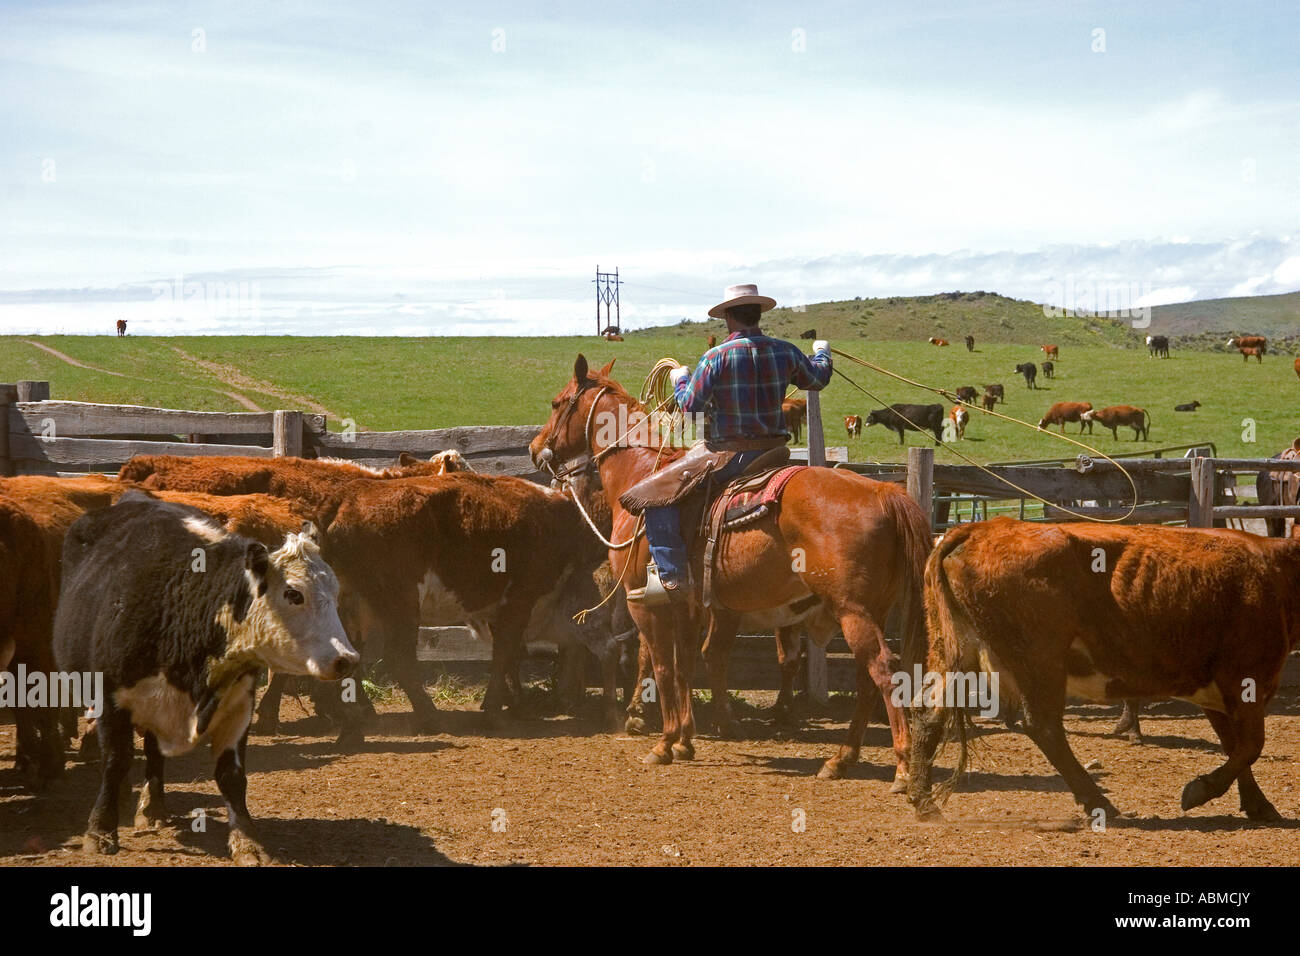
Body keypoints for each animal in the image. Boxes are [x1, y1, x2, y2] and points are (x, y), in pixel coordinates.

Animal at [53, 493, 357, 862]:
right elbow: (115, 760)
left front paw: (247, 841)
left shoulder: (238, 704)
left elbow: (232, 776)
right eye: (294, 594)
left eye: (336, 591)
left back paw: (153, 808)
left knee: (154, 751)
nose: (346, 659)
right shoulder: (111, 698)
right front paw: (100, 830)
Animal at [909, 518, 1300, 823]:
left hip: (955, 654)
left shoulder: (1216, 693)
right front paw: (1201, 790)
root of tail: (980, 529)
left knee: (929, 714)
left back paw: (924, 802)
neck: (1278, 570)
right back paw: (1099, 803)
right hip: (1040, 661)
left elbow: (1235, 747)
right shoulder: (1246, 680)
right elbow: (1250, 746)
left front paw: (1258, 805)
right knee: (1044, 727)